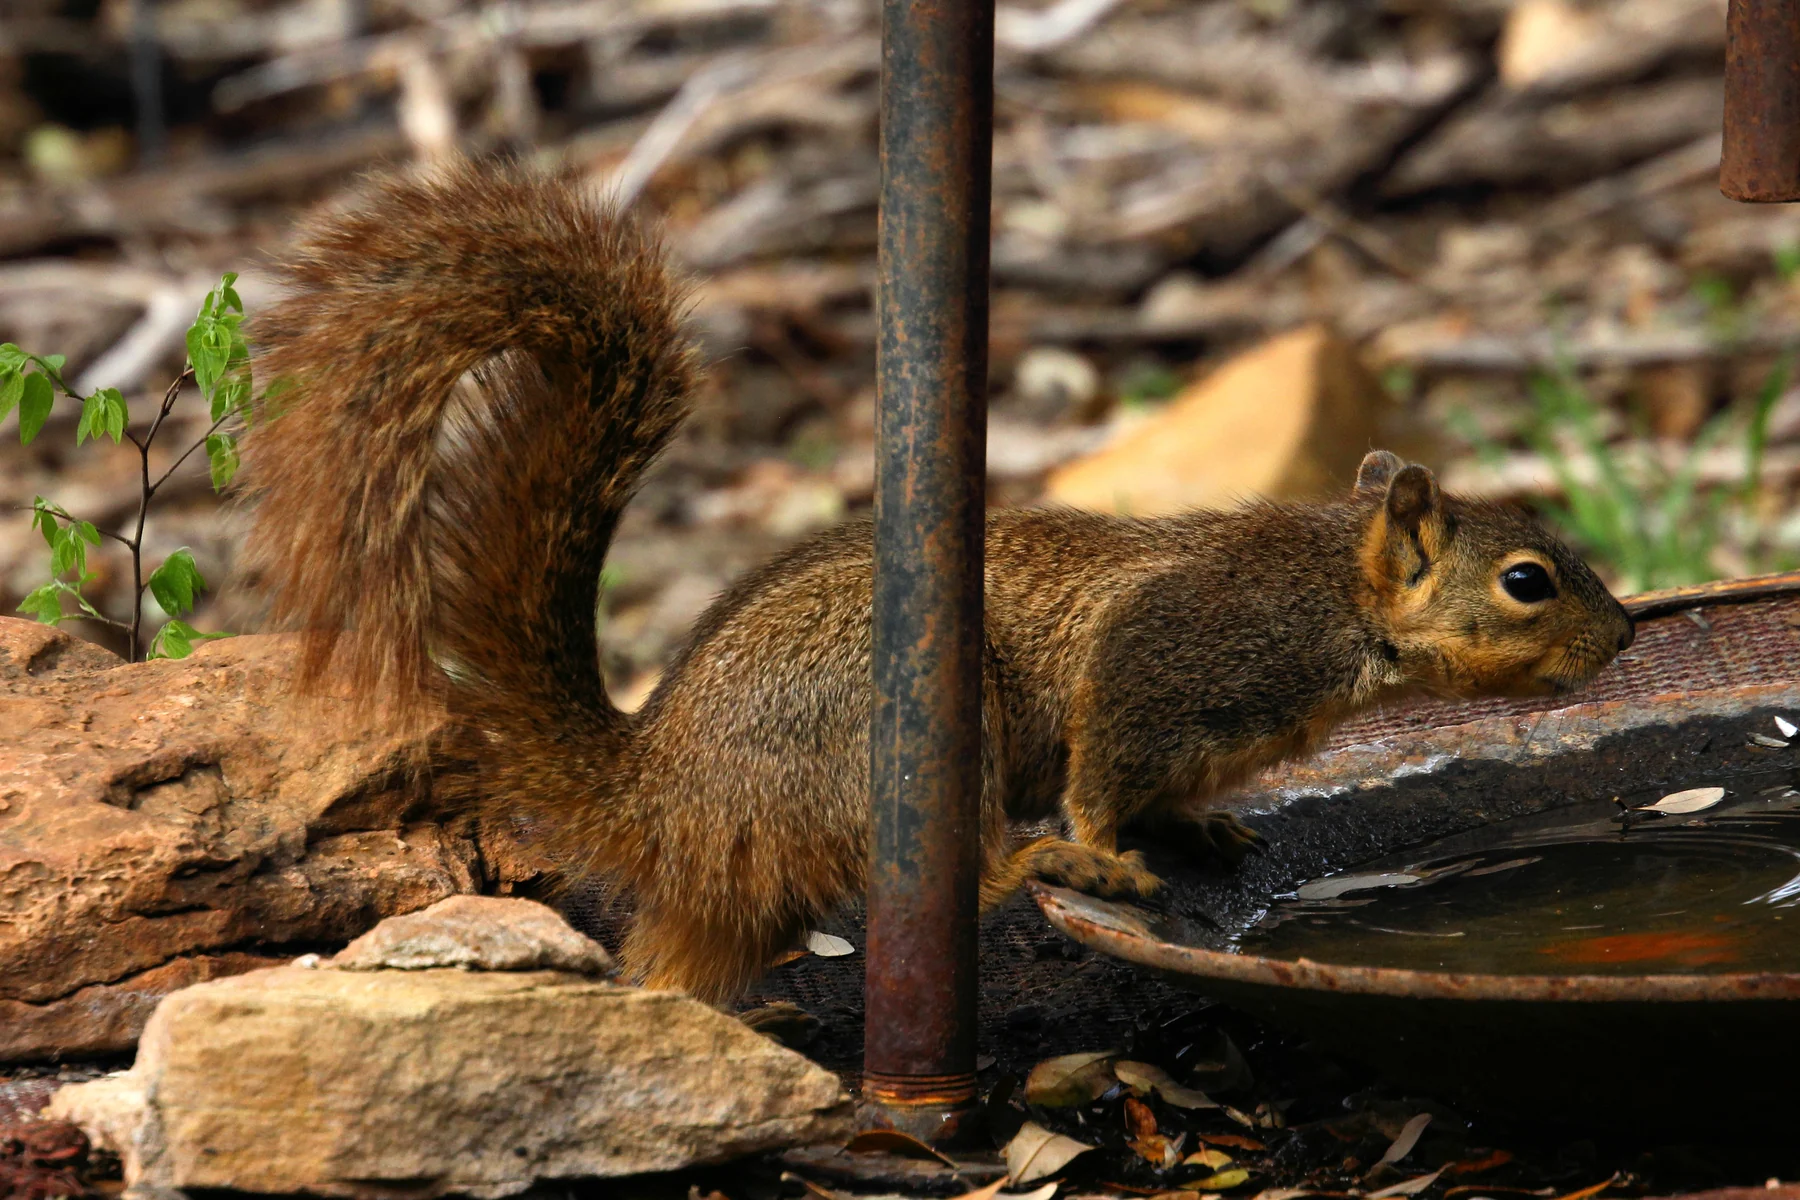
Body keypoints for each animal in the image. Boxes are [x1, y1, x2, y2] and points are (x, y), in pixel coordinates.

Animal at [240, 158, 1635, 1007]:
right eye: (1527, 580)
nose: (1624, 637)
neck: (1337, 605)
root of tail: (659, 793)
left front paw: (1204, 826)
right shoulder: (1174, 648)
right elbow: (1105, 763)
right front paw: (1110, 850)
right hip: (908, 740)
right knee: (948, 878)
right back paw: (1046, 870)